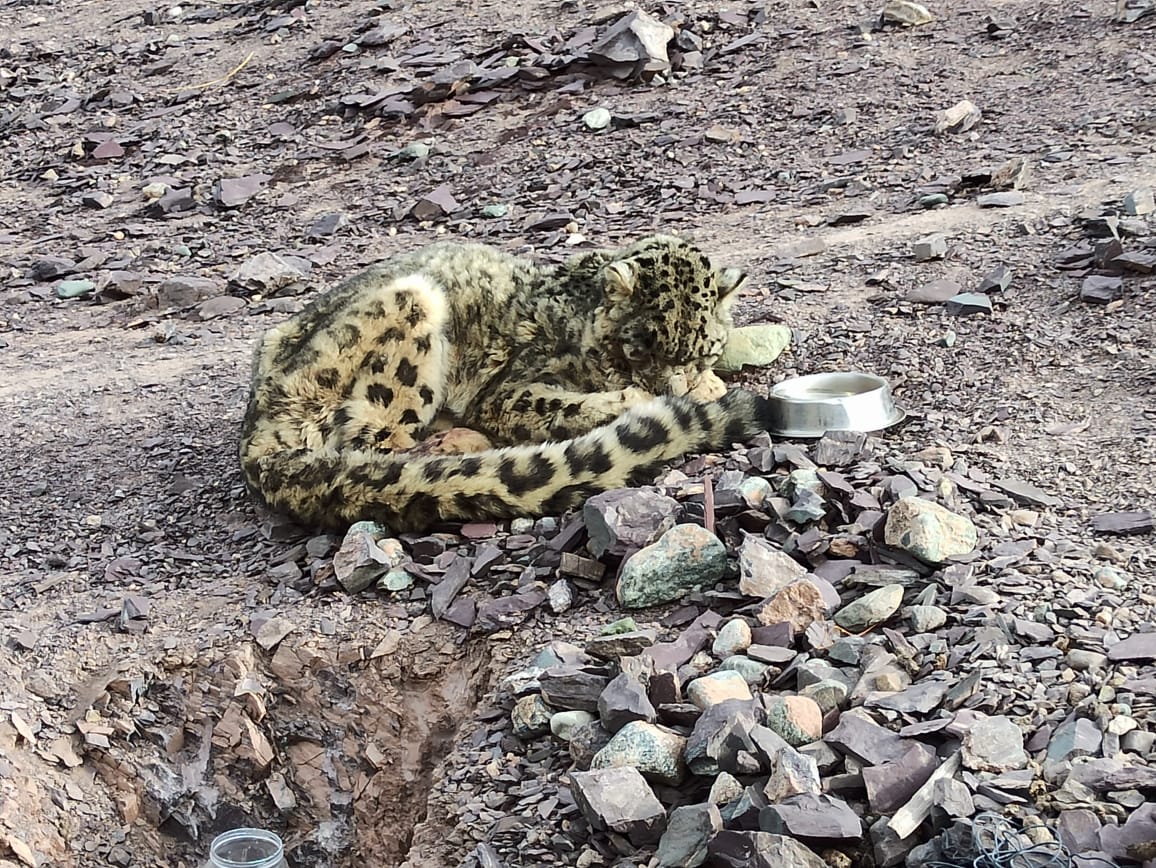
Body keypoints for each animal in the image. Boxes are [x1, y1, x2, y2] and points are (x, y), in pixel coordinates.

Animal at [239, 234, 776, 533]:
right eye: (641, 346)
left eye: (701, 349)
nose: (670, 387)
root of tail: (259, 424)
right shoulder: (508, 389)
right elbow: (560, 405)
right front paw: (635, 397)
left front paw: (706, 385)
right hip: (405, 314)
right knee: (379, 438)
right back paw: (460, 442)